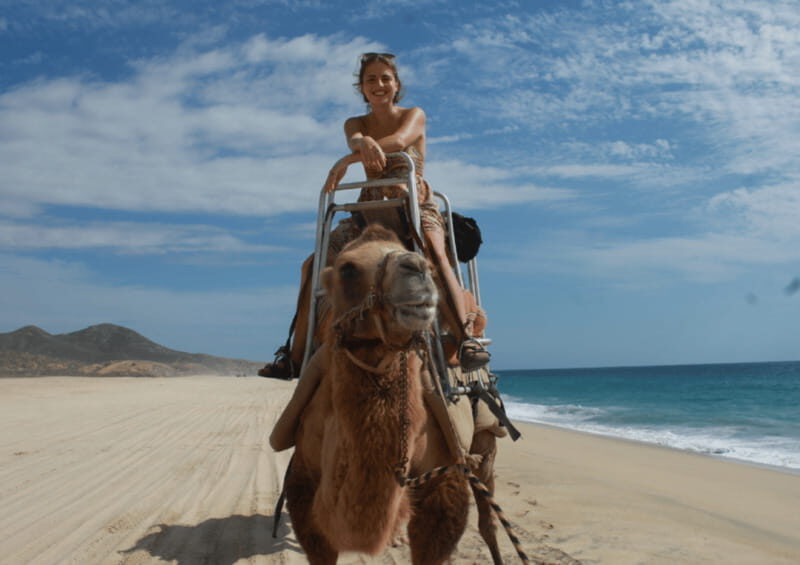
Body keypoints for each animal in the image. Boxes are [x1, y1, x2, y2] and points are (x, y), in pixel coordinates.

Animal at [284, 224, 505, 564]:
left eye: (409, 251)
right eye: (348, 268)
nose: (419, 269)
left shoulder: (444, 478)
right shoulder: (303, 481)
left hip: (485, 434)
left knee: (488, 516)